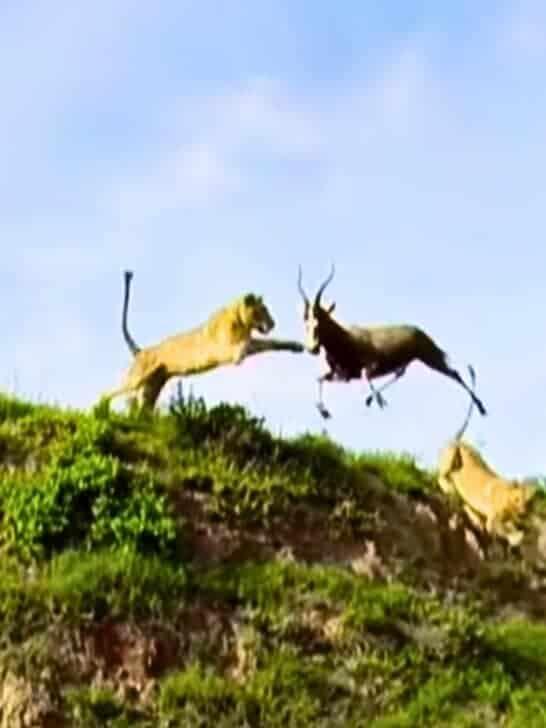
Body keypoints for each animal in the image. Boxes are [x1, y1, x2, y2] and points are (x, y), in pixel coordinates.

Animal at [98, 270, 304, 411]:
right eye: (263, 310)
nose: (273, 323)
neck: (242, 323)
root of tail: (141, 351)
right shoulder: (224, 351)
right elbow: (244, 347)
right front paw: (241, 355)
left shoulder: (249, 342)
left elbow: (272, 343)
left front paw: (296, 346)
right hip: (136, 379)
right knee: (110, 392)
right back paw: (102, 406)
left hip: (152, 387)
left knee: (140, 407)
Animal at [297, 264, 488, 420]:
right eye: (306, 324)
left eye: (320, 323)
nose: (312, 348)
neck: (343, 339)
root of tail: (421, 332)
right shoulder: (343, 376)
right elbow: (319, 379)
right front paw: (324, 412)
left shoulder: (370, 366)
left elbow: (366, 375)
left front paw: (379, 401)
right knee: (401, 374)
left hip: (430, 358)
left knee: (454, 373)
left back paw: (481, 408)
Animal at [437, 366, 536, 546]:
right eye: (518, 499)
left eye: (529, 502)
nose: (523, 512)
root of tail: (457, 439)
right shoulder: (494, 519)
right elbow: (503, 529)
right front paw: (516, 538)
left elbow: (508, 527)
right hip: (452, 455)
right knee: (441, 476)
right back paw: (449, 488)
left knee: (466, 504)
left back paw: (474, 517)